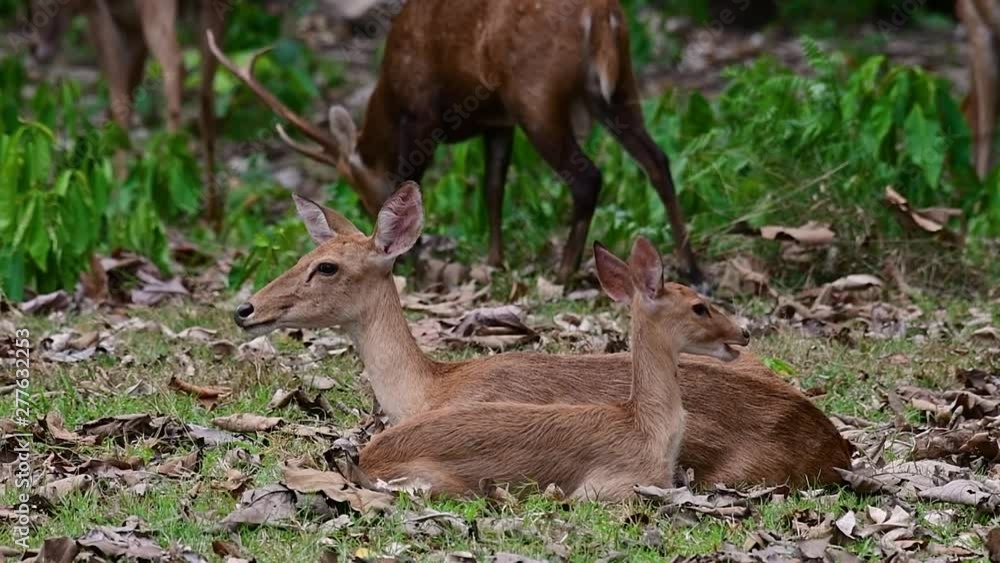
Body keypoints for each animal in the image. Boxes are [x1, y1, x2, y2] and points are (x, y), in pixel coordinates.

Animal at [27, 0, 227, 227]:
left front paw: (116, 199)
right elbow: (126, 95)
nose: (34, 48)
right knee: (207, 88)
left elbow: (118, 96)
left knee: (175, 62)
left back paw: (171, 179)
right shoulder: (131, 27)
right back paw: (212, 212)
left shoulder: (97, 10)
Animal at [206, 0, 705, 285]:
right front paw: (495, 261)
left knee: (587, 176)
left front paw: (409, 261)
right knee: (657, 160)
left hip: (535, 92)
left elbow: (408, 180)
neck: (389, 93)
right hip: (618, 84)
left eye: (356, 185)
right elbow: (493, 187)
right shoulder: (497, 120)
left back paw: (564, 272)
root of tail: (603, 17)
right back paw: (693, 271)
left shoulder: (423, 112)